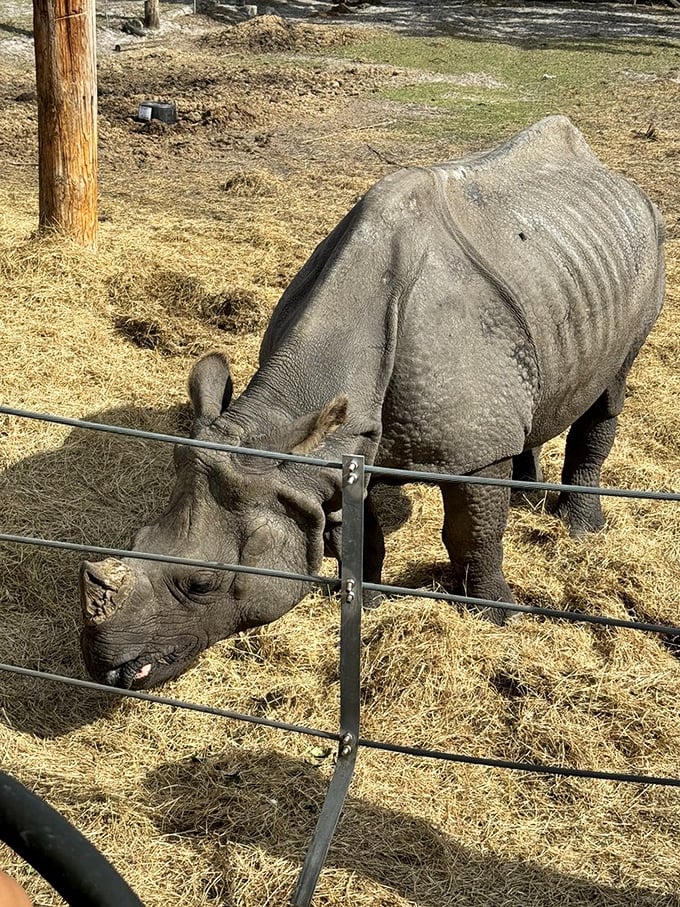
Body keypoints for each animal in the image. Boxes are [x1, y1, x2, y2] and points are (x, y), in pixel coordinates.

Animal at [80, 116, 665, 689]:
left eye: (202, 584)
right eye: (137, 536)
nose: (104, 667)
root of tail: (612, 174)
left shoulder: (468, 450)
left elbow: (473, 533)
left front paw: (494, 614)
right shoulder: (331, 455)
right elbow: (359, 537)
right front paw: (367, 601)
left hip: (649, 241)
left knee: (610, 388)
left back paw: (581, 527)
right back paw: (526, 488)